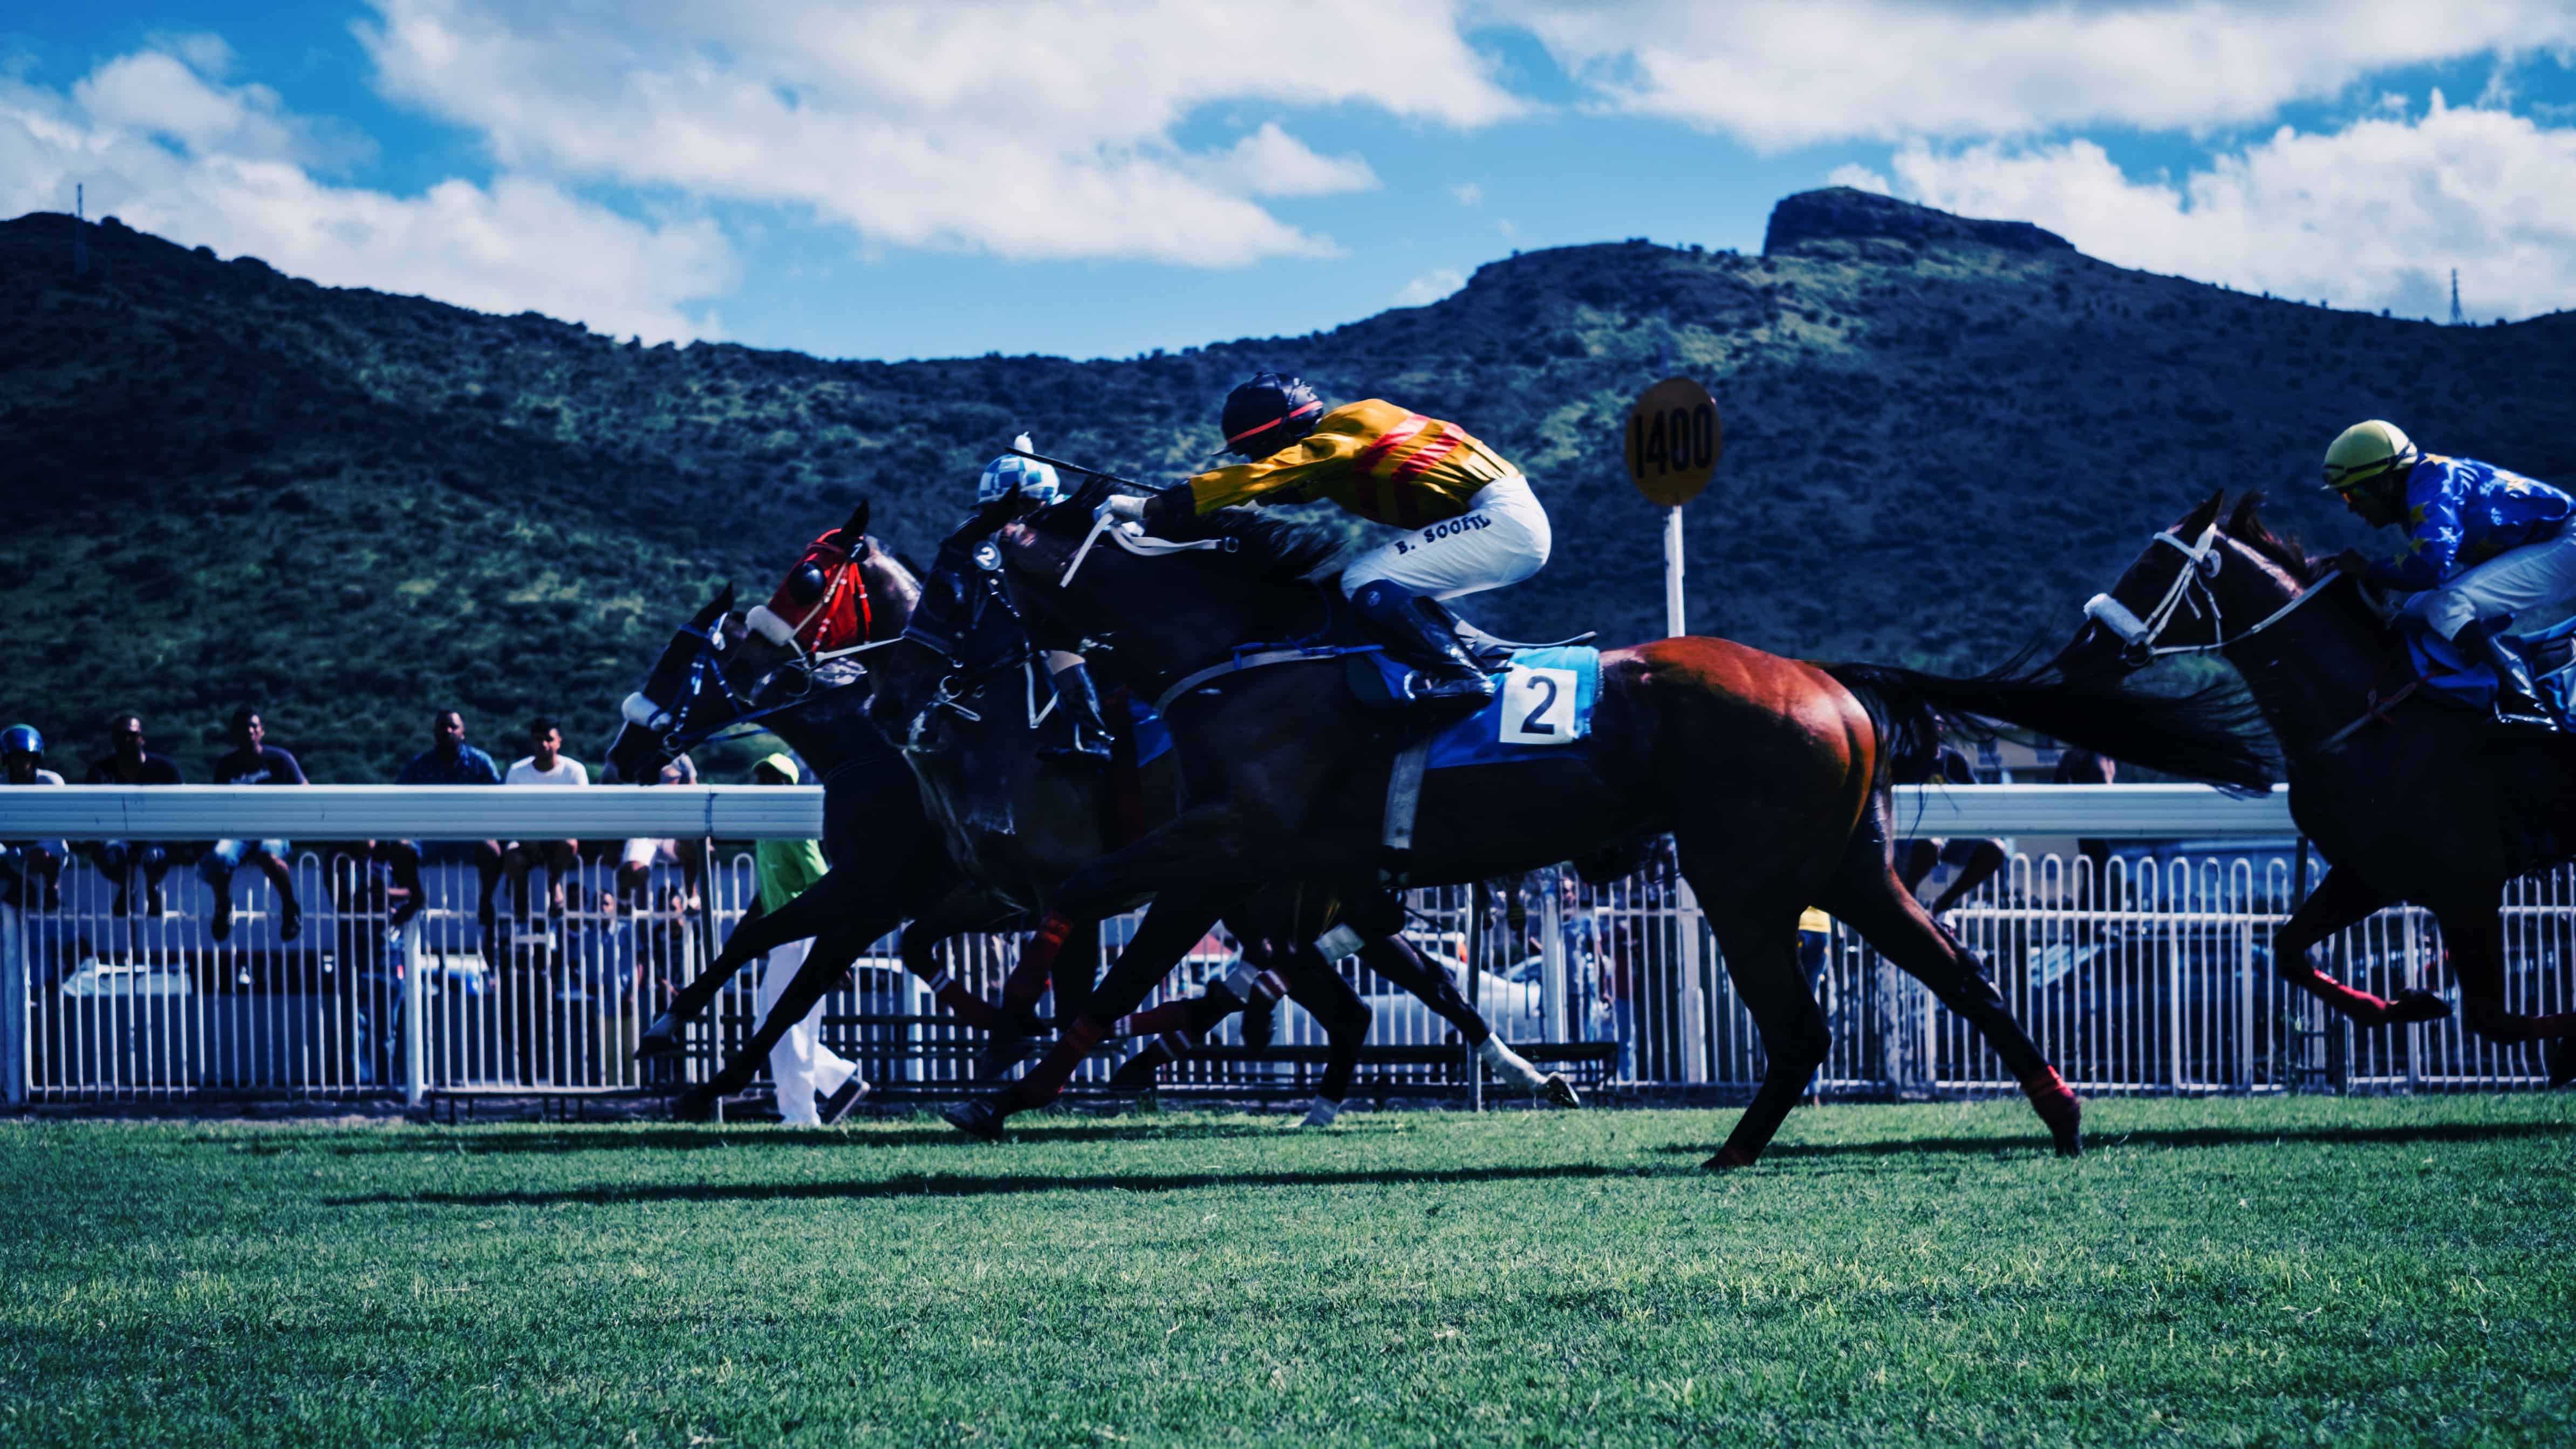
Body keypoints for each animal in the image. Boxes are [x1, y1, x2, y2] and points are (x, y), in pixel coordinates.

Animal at [934, 478, 2279, 1164]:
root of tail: (1827, 678)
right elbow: (1152, 964)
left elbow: (1087, 923)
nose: (941, 680)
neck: (1246, 644)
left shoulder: (1228, 845)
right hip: (1847, 867)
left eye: (956, 581)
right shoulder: (1266, 868)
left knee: (1803, 1021)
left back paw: (1735, 1145)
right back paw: (2055, 1111)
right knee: (1957, 974)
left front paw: (992, 1059)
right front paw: (1007, 1080)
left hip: (1742, 876)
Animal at [2054, 488, 2576, 1085]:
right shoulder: (2370, 874)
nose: (2076, 653)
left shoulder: (2467, 882)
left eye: (2149, 570)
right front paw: (2408, 1005)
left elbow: (2492, 1018)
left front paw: (2565, 1048)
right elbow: (2287, 951)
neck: (2368, 710)